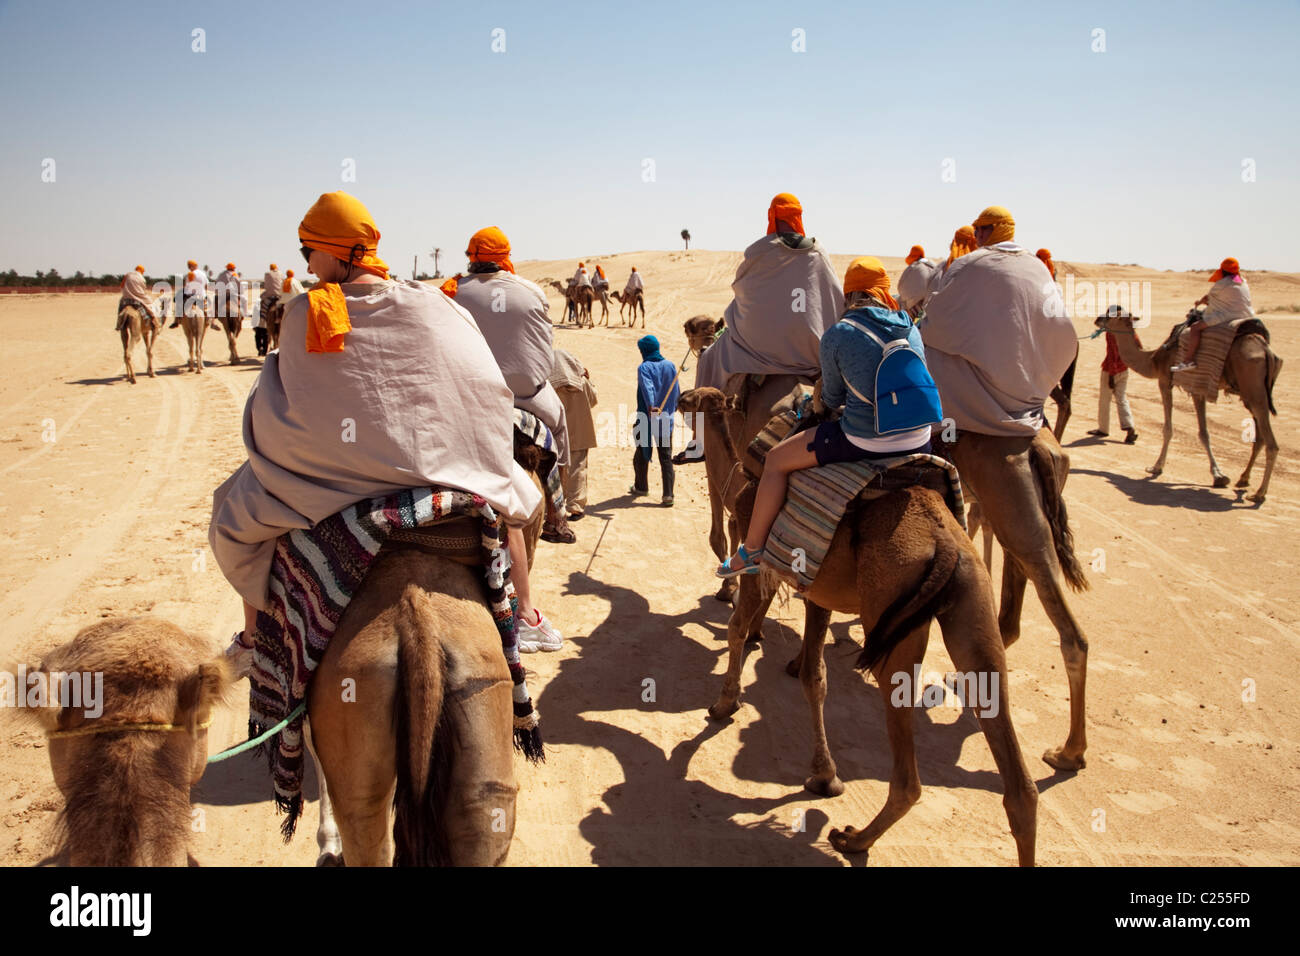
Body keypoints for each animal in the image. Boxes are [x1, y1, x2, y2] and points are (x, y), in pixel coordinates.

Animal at [706, 446, 1038, 864]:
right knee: (1018, 783)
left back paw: (854, 840)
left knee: (909, 779)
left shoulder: (758, 546)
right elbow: (814, 675)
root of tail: (945, 546)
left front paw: (724, 703)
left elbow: (737, 626)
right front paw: (824, 775)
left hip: (892, 628)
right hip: (974, 610)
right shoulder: (818, 586)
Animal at [1094, 310, 1282, 503]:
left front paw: (1156, 467)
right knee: (1260, 438)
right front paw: (1219, 476)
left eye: (1111, 315)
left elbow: (1170, 429)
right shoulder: (1198, 389)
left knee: (1271, 444)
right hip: (1249, 394)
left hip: (1254, 390)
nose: (1097, 320)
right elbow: (1204, 433)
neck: (1153, 359)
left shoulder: (1165, 381)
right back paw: (1243, 479)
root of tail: (1267, 351)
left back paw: (1259, 493)